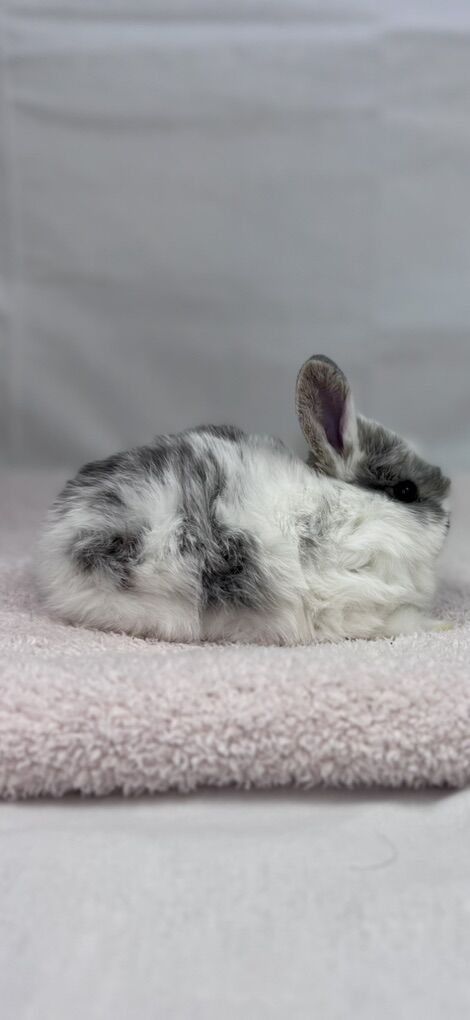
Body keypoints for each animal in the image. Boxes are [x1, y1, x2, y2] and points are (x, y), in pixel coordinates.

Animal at [34, 355, 451, 644]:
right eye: (407, 491)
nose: (448, 525)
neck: (355, 514)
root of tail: (55, 542)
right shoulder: (360, 602)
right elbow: (404, 621)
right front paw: (443, 624)